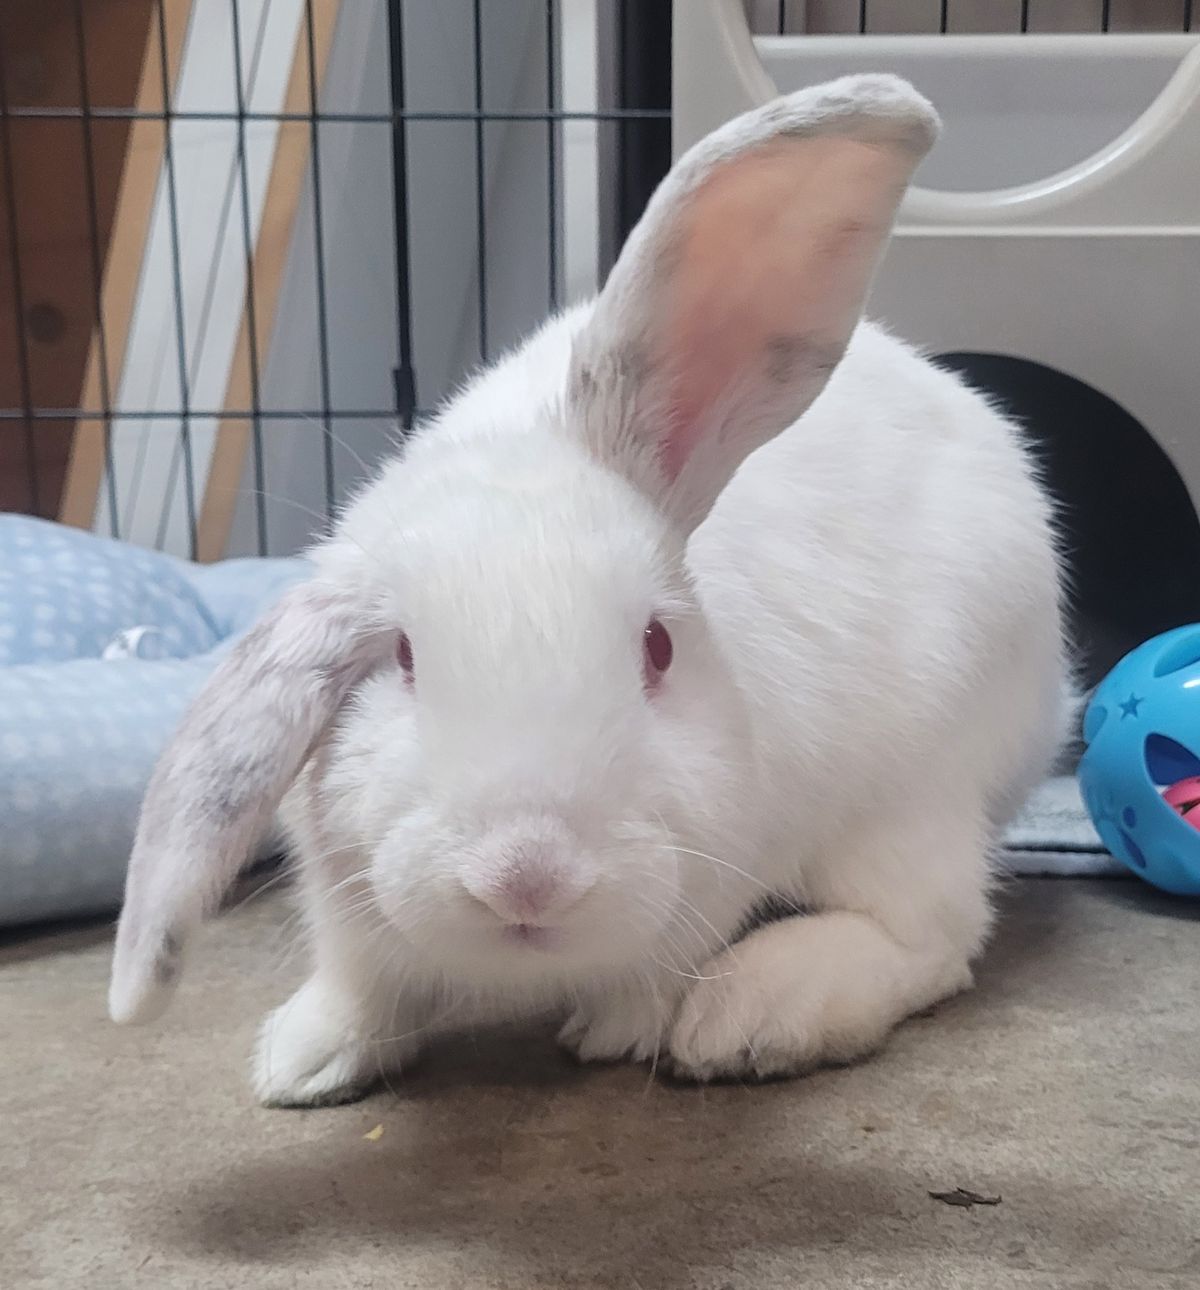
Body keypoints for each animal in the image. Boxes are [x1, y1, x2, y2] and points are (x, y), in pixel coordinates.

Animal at [108, 74, 1072, 1107]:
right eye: (402, 656)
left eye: (658, 646)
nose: (528, 877)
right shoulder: (347, 910)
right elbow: (363, 983)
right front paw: (303, 1061)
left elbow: (660, 978)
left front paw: (622, 1029)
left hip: (923, 787)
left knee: (932, 934)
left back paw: (754, 1013)